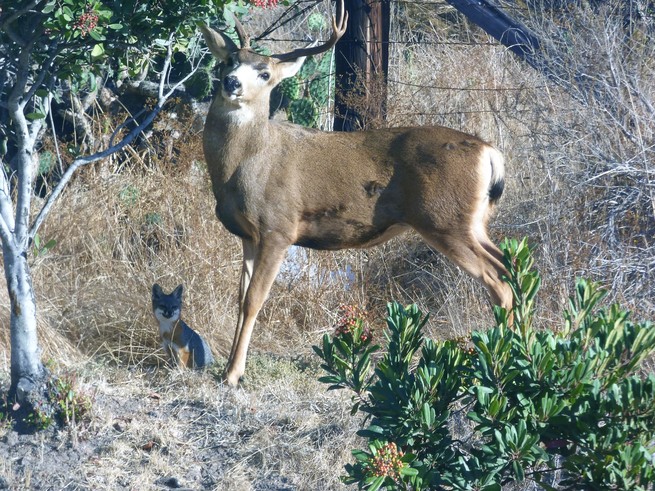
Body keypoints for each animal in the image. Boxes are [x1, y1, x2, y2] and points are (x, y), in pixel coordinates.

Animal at [199, 0, 513, 387]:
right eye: (230, 60)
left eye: (265, 74)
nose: (231, 83)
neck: (244, 165)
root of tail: (490, 152)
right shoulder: (247, 234)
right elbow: (239, 298)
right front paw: (229, 367)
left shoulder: (278, 227)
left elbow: (253, 300)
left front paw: (232, 375)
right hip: (473, 222)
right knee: (509, 267)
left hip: (444, 220)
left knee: (498, 281)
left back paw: (504, 362)